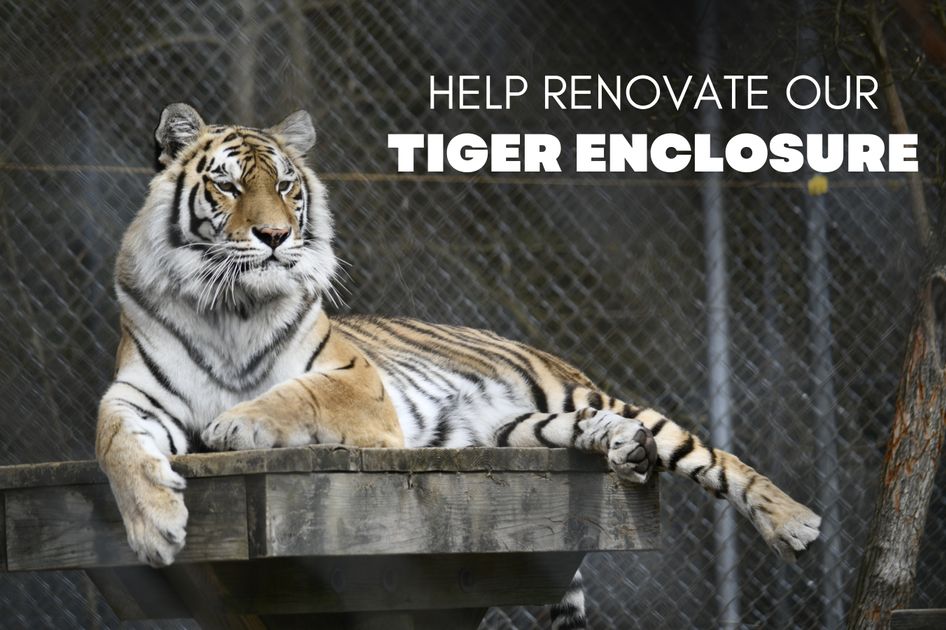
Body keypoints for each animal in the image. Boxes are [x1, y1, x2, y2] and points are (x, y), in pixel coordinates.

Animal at [97, 103, 821, 628]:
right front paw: (155, 527)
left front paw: (235, 425)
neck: (233, 305)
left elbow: (297, 395)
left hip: (577, 396)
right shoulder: (136, 397)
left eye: (284, 185)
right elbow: (115, 445)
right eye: (225, 184)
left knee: (711, 455)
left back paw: (794, 522)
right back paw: (626, 450)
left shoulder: (355, 380)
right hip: (519, 429)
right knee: (601, 436)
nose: (275, 237)